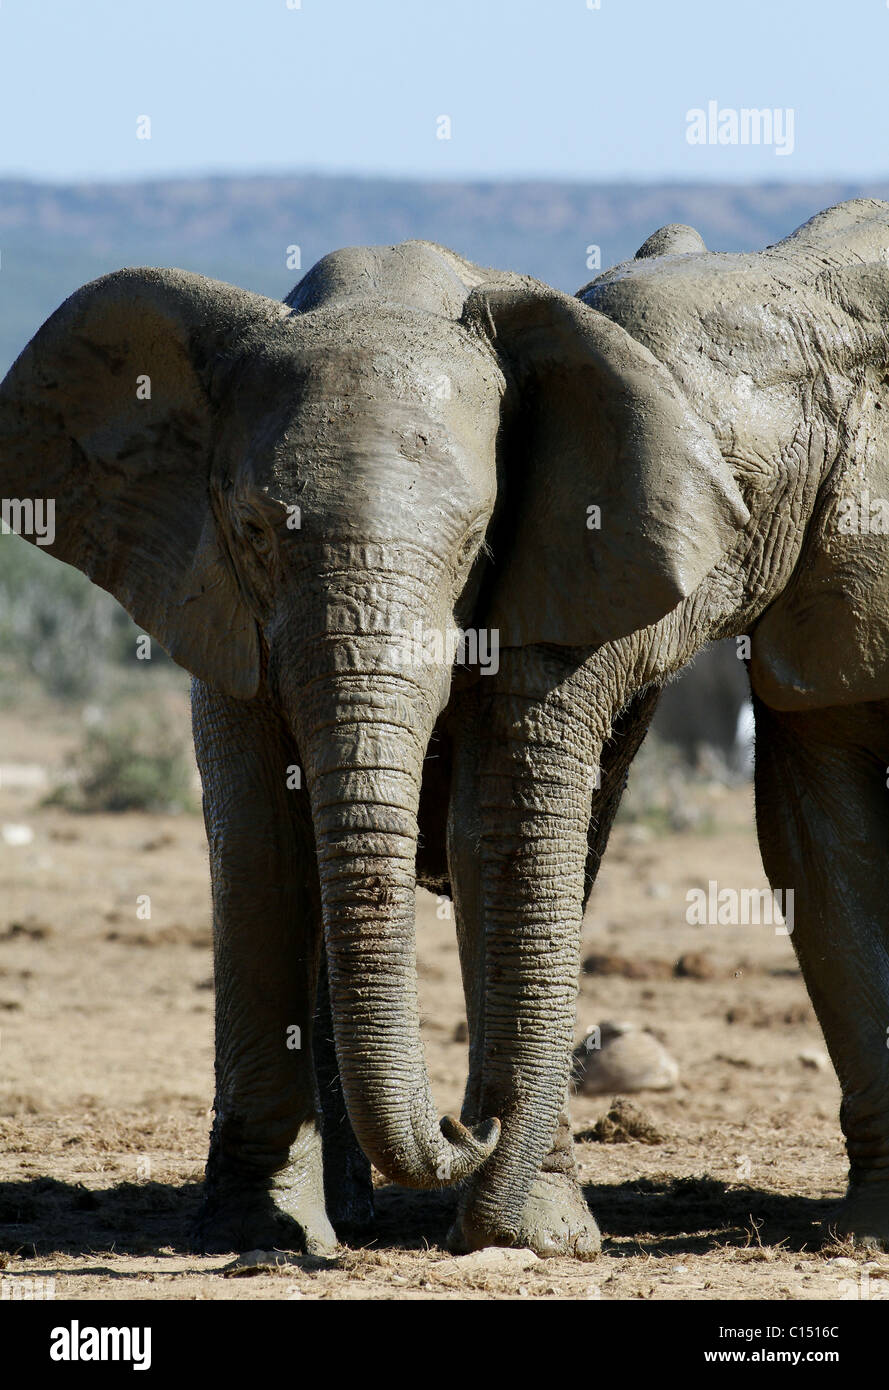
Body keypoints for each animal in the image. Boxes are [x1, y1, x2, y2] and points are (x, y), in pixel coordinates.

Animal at [1, 197, 888, 1260]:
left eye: (475, 540)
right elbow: (259, 842)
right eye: (253, 531)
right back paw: (345, 1213)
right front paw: (254, 1227)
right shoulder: (210, 592)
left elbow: (499, 834)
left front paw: (531, 1236)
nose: (469, 1128)